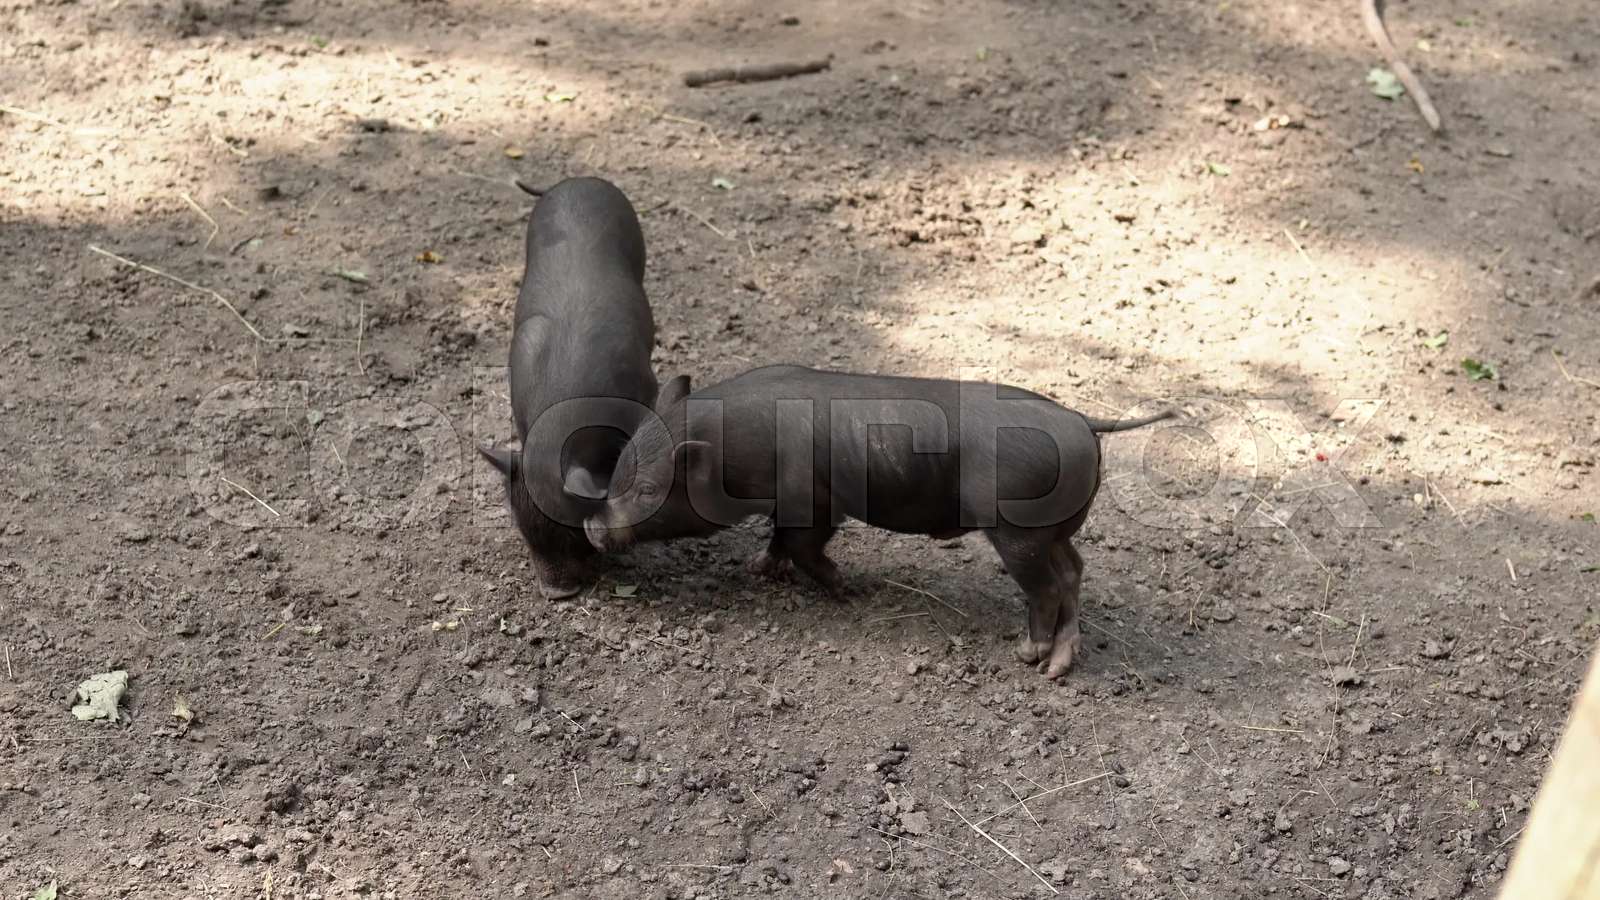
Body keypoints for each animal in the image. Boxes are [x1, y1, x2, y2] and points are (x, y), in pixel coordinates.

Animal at [582, 365, 1172, 677]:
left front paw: (850, 590)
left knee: (1046, 587)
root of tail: (1081, 419)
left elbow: (805, 548)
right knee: (1074, 570)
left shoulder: (814, 501)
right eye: (619, 465)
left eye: (650, 490)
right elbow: (778, 542)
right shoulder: (787, 507)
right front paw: (757, 568)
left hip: (1017, 530)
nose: (591, 525)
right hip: (1054, 529)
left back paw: (1029, 657)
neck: (736, 450)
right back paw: (1060, 665)